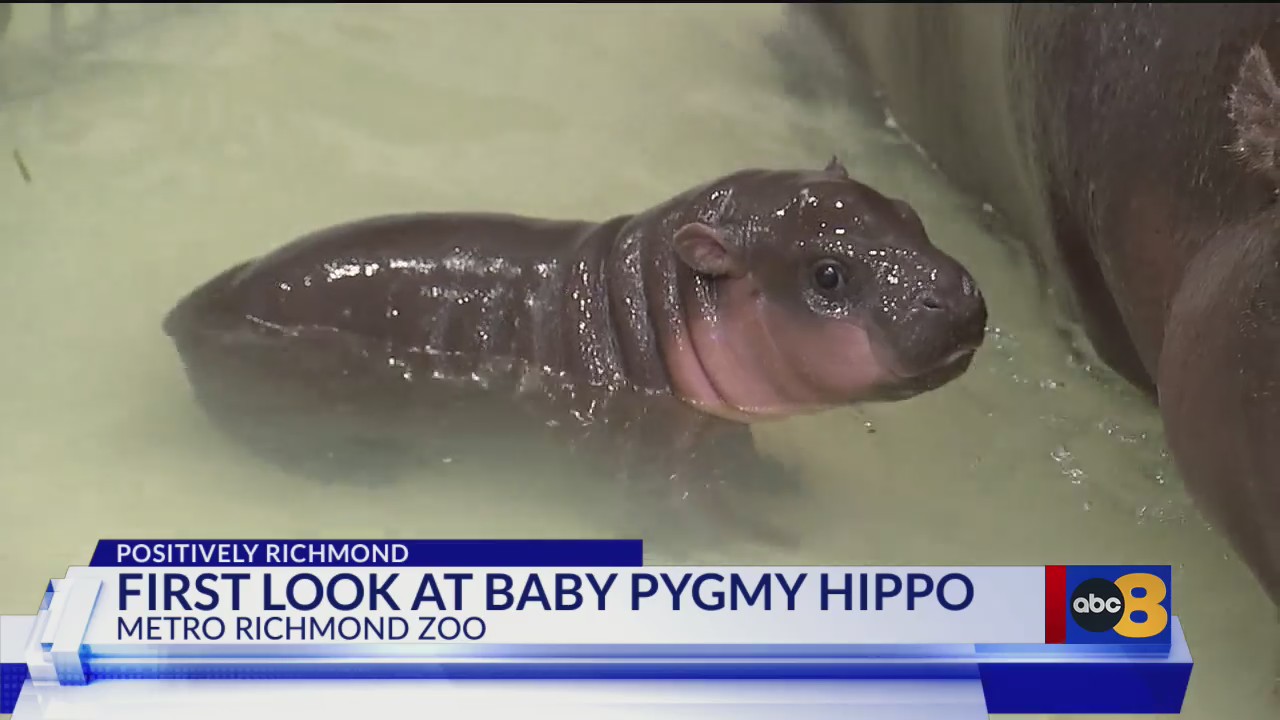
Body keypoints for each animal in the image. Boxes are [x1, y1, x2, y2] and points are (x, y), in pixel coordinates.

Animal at [163, 160, 986, 517]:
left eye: (908, 211)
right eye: (828, 274)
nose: (958, 297)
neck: (650, 303)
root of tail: (185, 312)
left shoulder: (717, 426)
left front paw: (783, 486)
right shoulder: (652, 449)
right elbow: (685, 503)